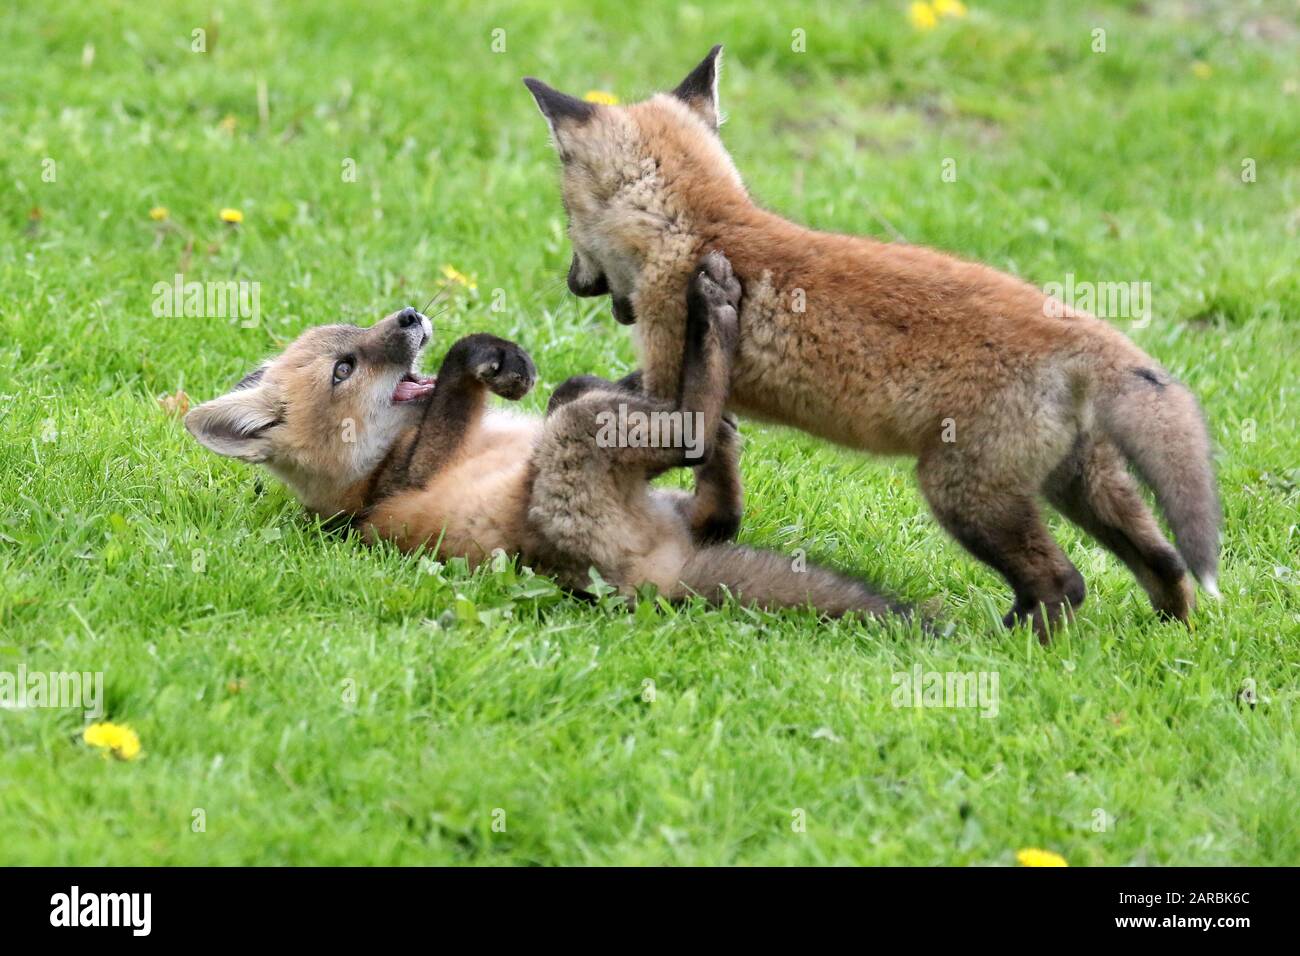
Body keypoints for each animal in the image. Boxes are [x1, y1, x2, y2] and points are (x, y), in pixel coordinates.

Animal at [184, 254, 910, 622]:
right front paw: (490, 357)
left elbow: (574, 383)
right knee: (693, 440)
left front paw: (620, 374)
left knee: (717, 508)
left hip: (649, 490)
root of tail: (659, 580)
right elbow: (460, 372)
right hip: (577, 447)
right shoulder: (410, 476)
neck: (364, 483)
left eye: (354, 337)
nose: (411, 316)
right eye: (344, 370)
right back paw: (716, 322)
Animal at [522, 46, 1222, 637]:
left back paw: (1004, 647)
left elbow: (684, 440)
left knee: (1065, 583)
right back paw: (1171, 636)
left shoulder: (673, 379)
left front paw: (707, 528)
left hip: (965, 495)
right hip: (1075, 483)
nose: (573, 283)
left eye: (564, 219)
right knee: (1164, 561)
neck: (702, 226)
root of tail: (1078, 326)